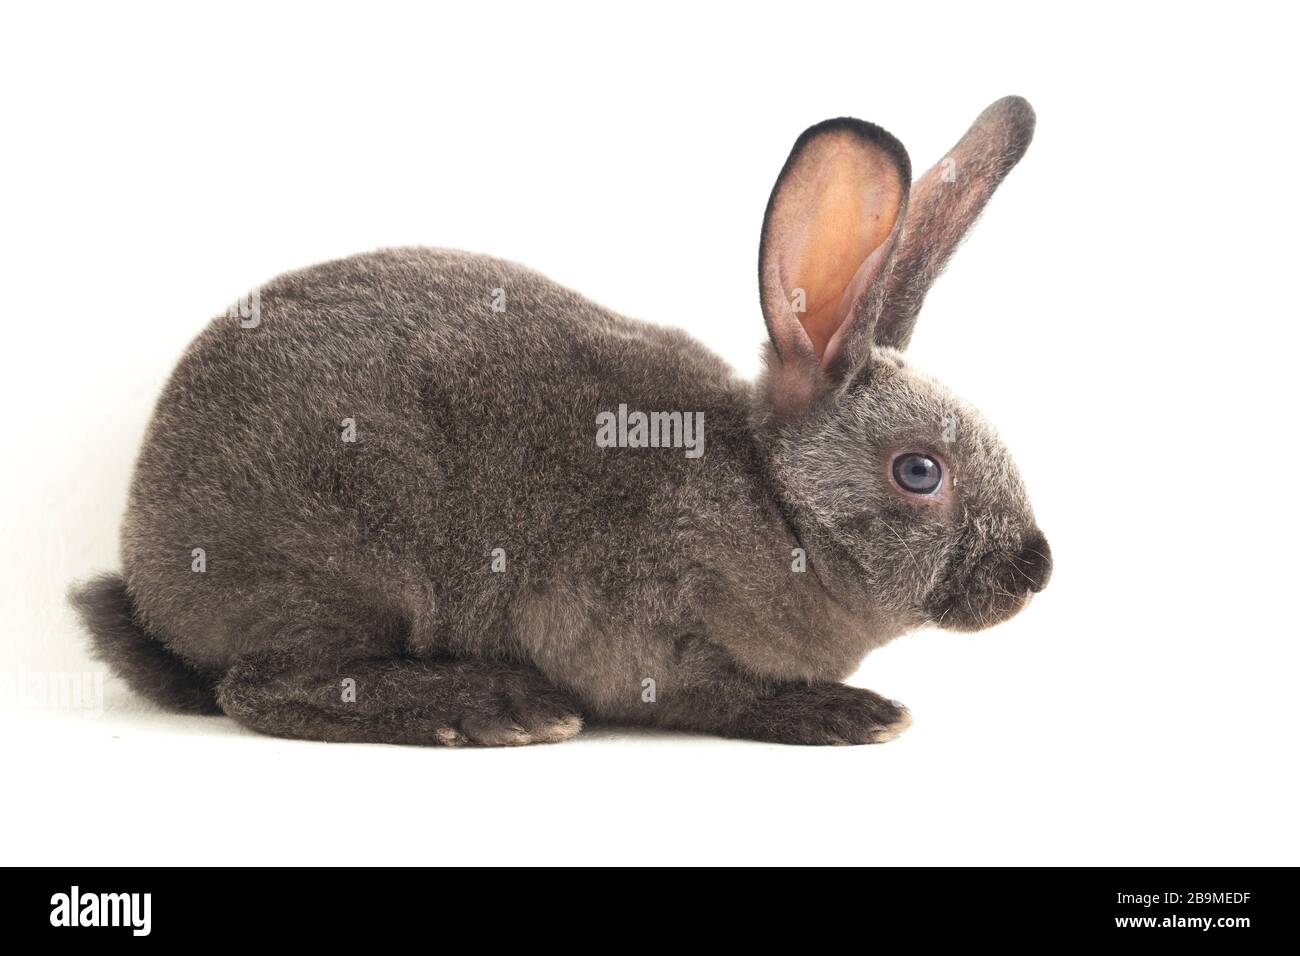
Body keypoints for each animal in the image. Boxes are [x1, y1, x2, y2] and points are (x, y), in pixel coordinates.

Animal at [70, 95, 1049, 747]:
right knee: (263, 688)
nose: (1036, 569)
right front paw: (847, 715)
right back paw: (500, 708)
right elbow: (719, 697)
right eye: (919, 471)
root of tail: (147, 575)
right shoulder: (641, 624)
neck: (779, 509)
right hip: (341, 569)